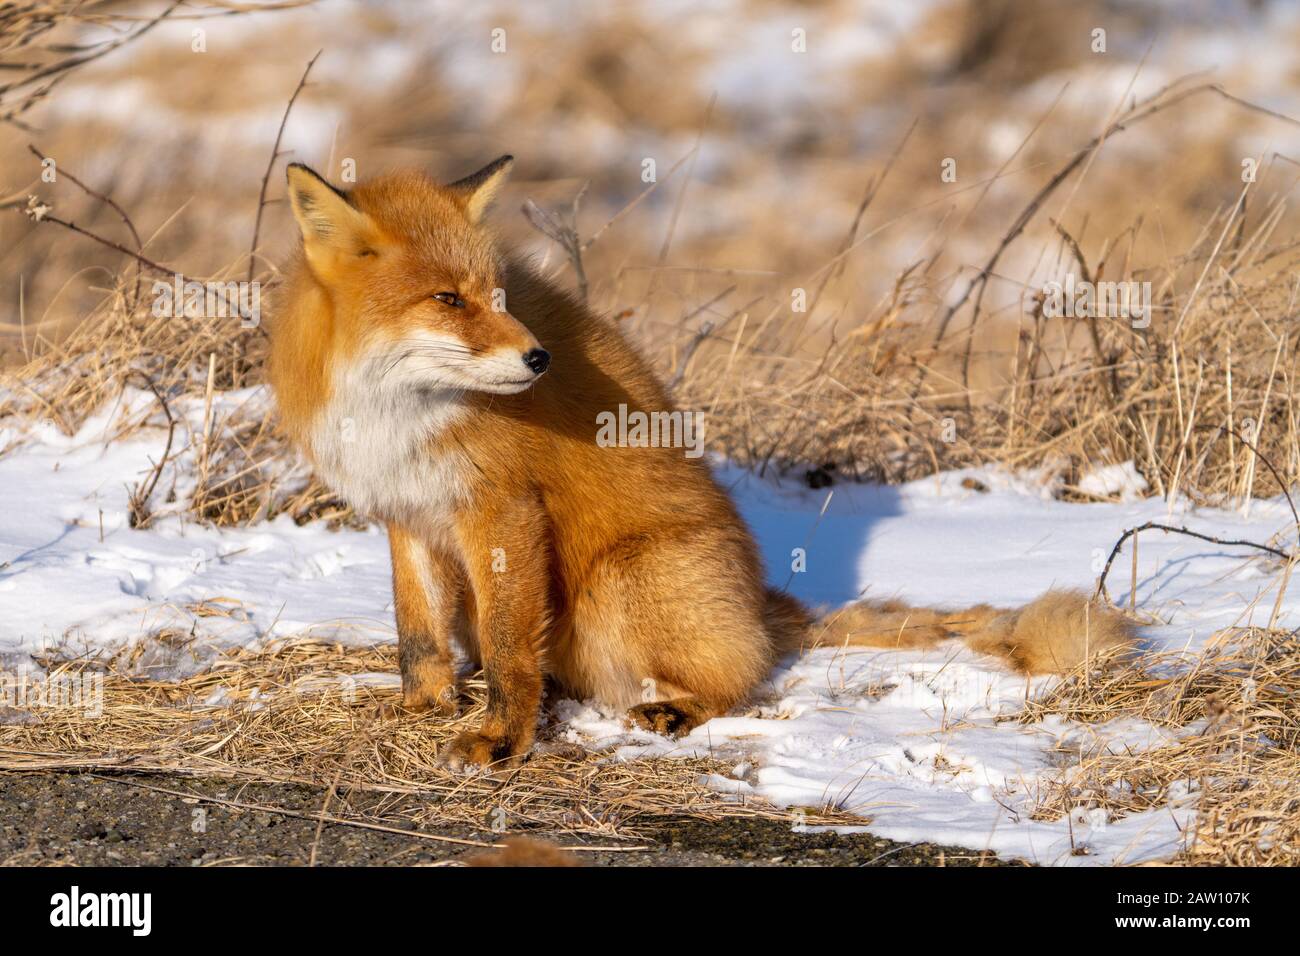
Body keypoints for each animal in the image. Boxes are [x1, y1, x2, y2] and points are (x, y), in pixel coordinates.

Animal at [267, 156, 1137, 770]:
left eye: (498, 292)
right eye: (448, 300)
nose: (539, 359)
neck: (397, 412)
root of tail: (760, 598)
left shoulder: (502, 511)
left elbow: (512, 650)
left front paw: (502, 740)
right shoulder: (407, 514)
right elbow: (417, 634)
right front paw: (422, 705)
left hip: (618, 586)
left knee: (742, 675)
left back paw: (677, 709)